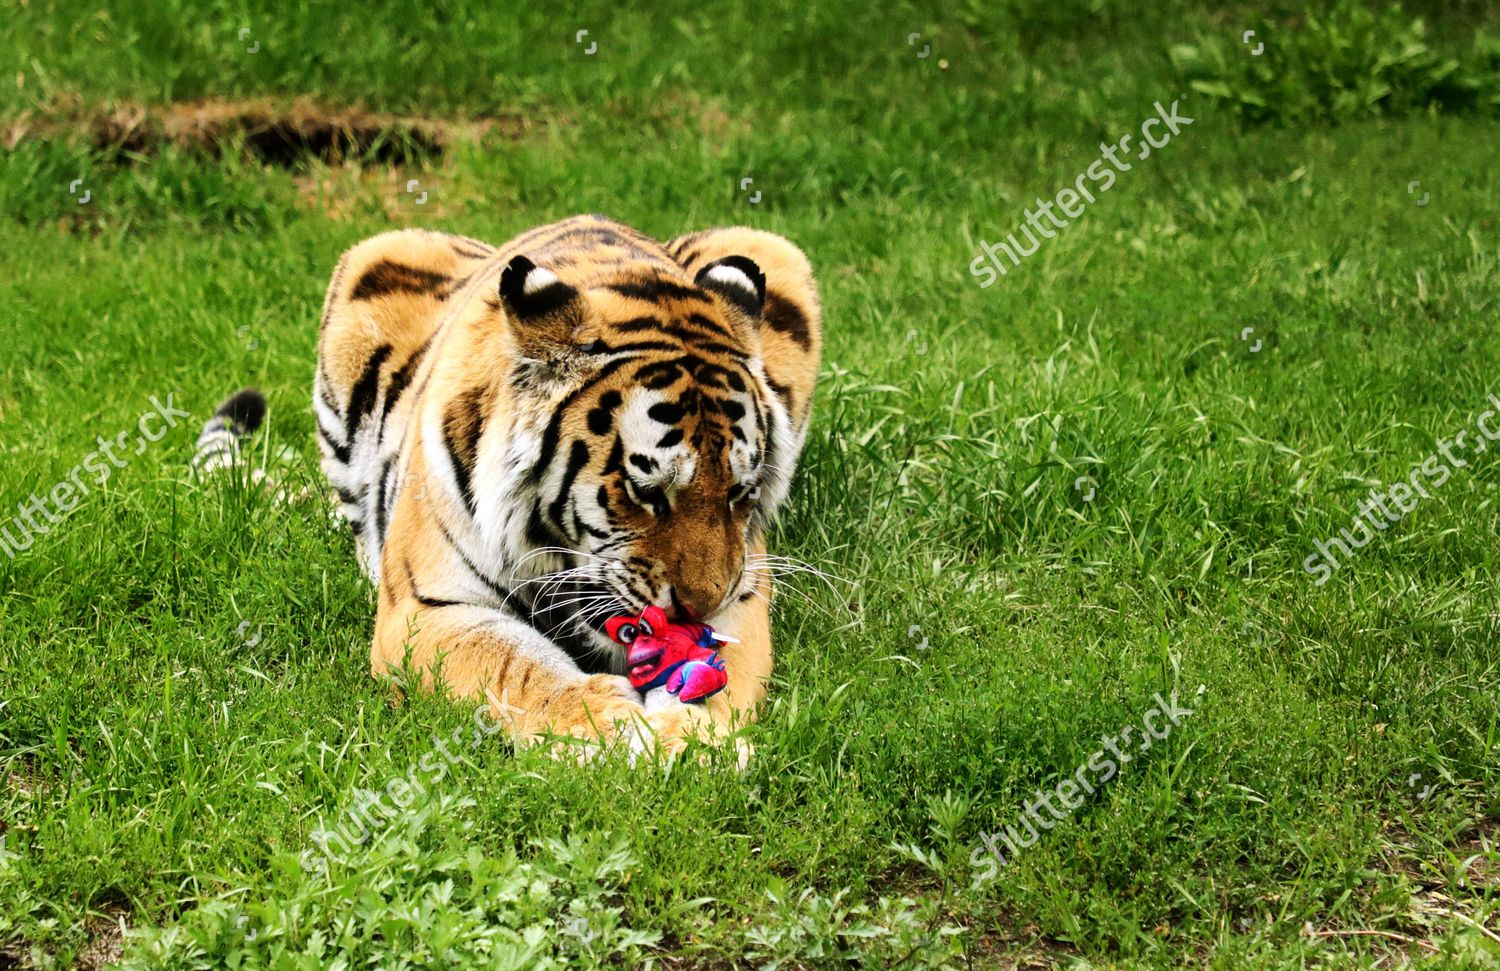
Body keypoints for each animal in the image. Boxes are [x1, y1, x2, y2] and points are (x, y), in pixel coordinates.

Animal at [213, 214, 821, 758]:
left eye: (740, 493)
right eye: (645, 493)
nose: (699, 606)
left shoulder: (745, 590)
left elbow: (722, 671)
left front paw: (693, 738)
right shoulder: (426, 608)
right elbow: (516, 666)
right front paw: (609, 729)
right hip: (376, 261)